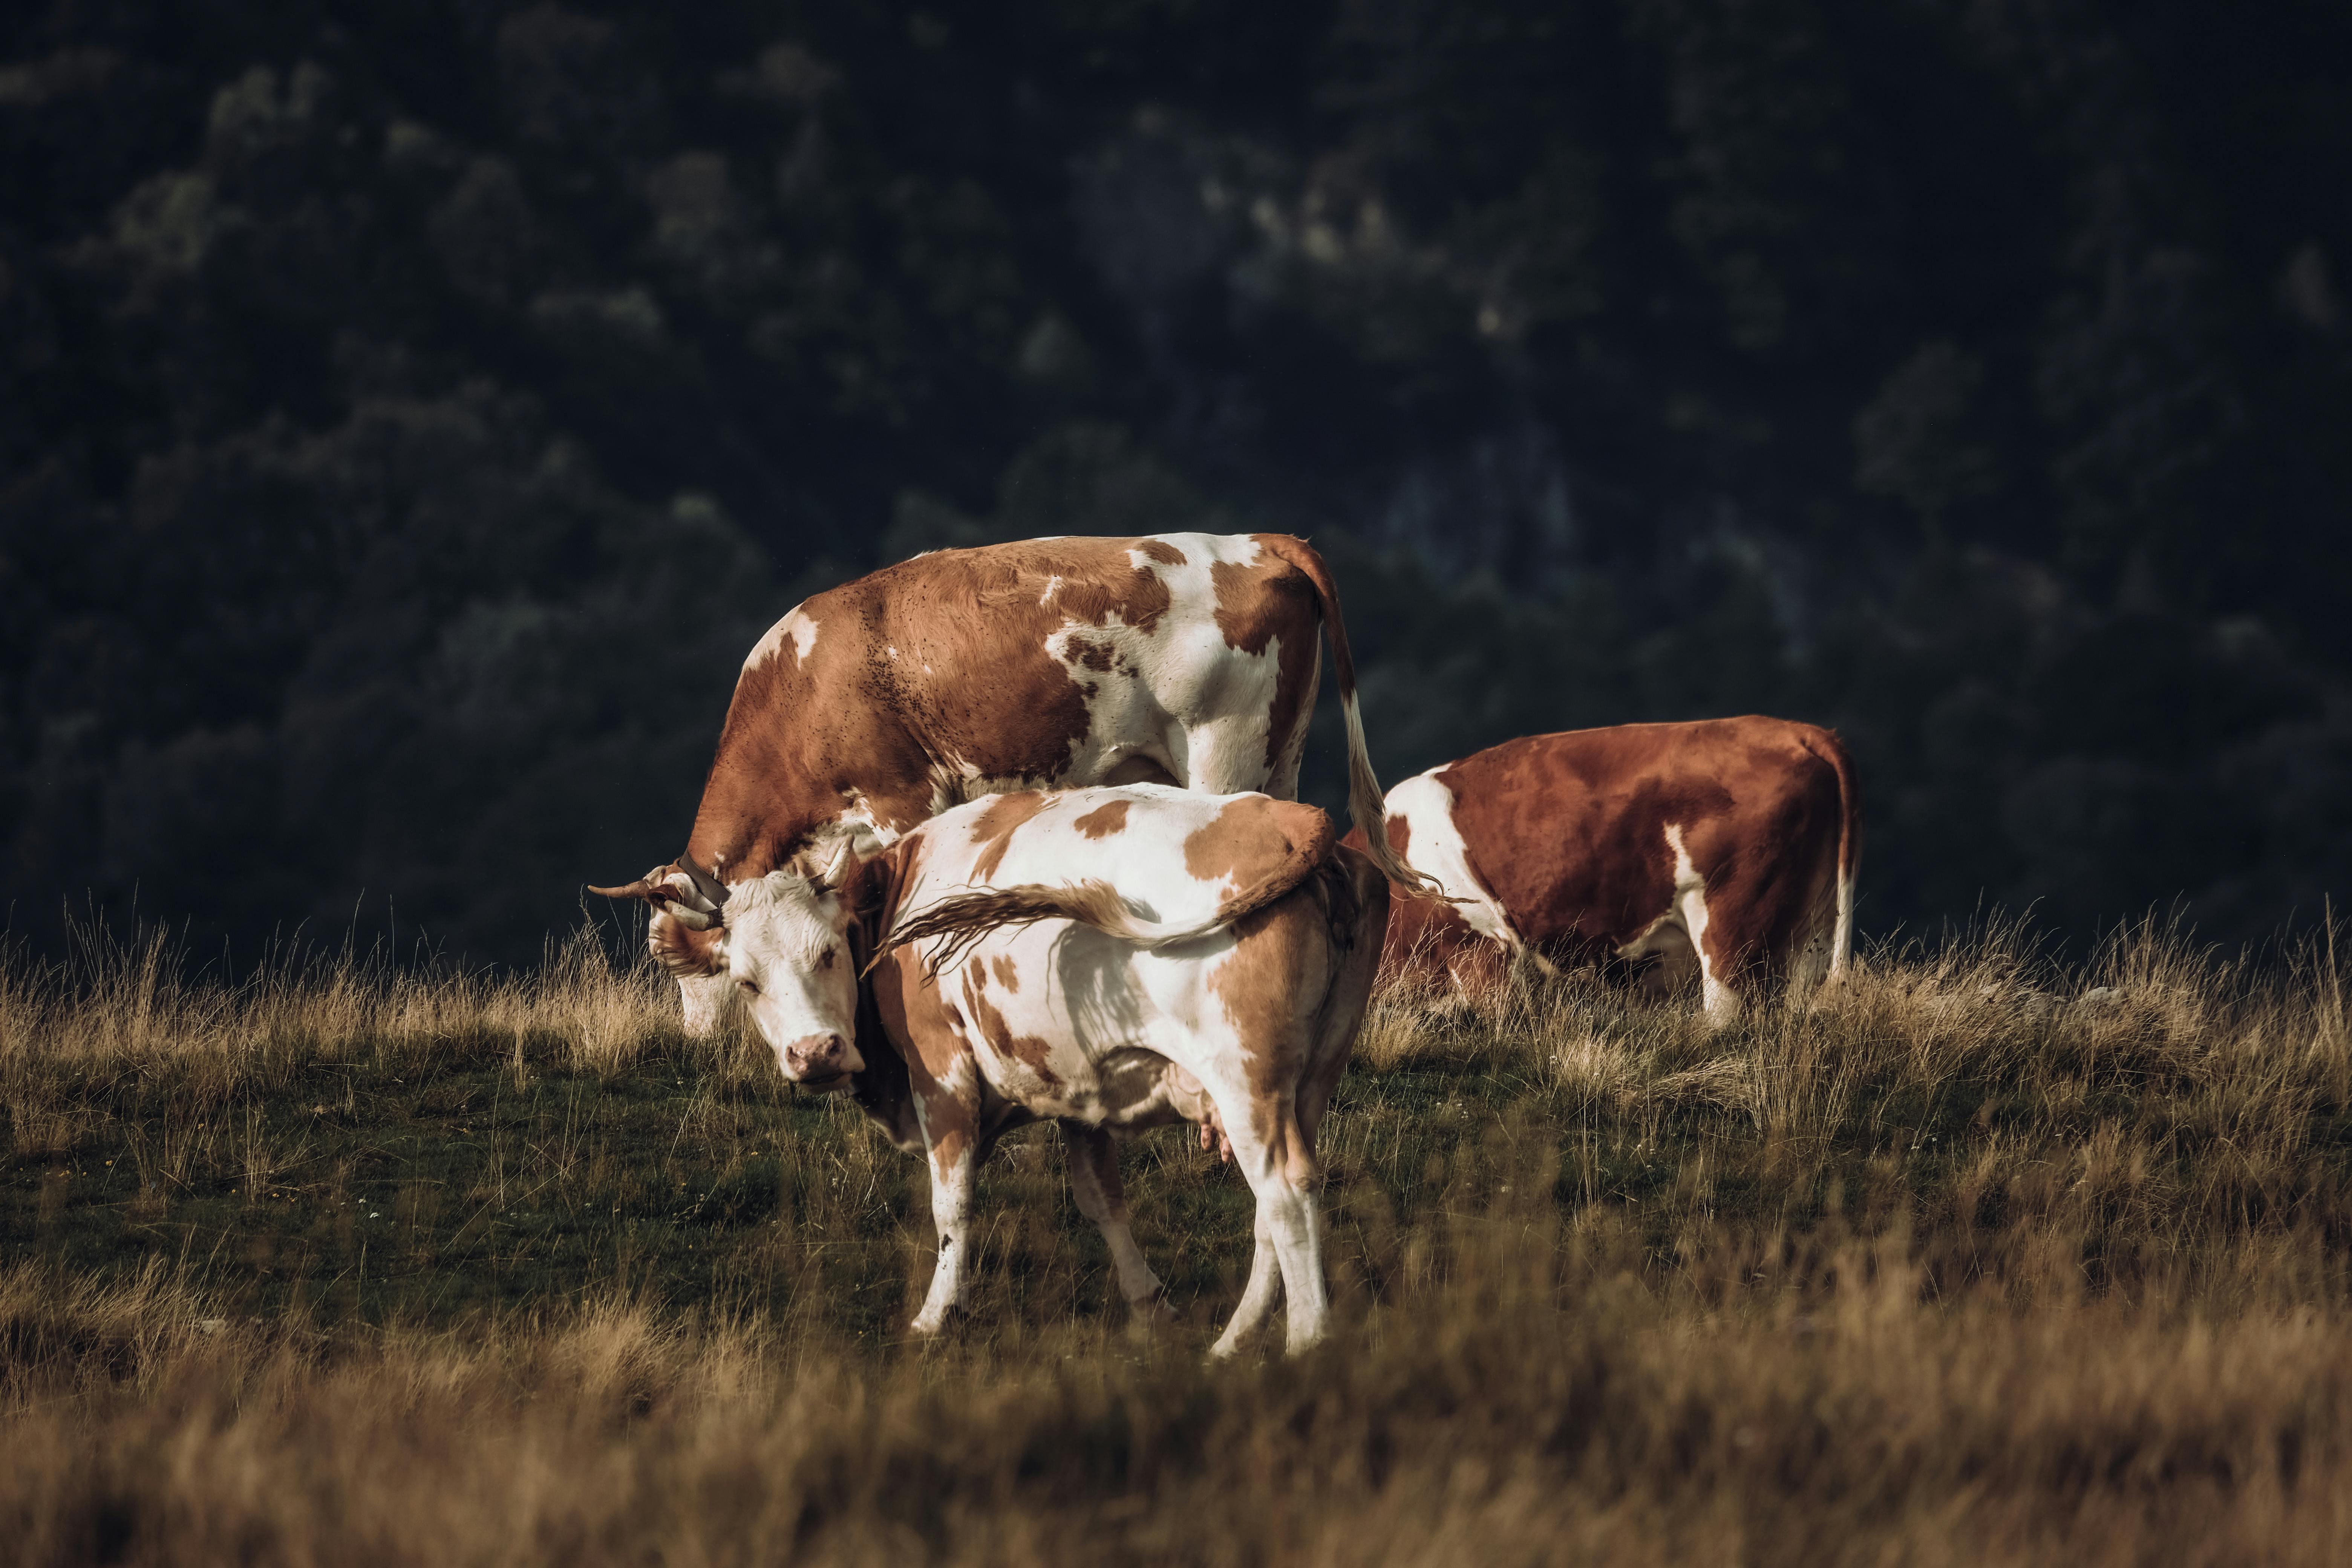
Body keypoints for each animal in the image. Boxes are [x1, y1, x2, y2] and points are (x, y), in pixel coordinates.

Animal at [594, 532, 1425, 1033]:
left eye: (689, 961)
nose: (699, 1042)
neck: (804, 680)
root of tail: (1259, 542)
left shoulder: (903, 800)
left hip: (1224, 754)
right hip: (1277, 753)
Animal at [614, 782, 1387, 1356]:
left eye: (827, 953)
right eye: (746, 982)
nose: (816, 1055)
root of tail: (1289, 816)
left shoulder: (942, 1070)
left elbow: (952, 1202)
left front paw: (936, 1315)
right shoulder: (1081, 1083)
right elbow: (1100, 1197)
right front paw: (1149, 1303)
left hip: (1244, 1079)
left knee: (1283, 1190)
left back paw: (1306, 1341)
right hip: (1306, 1080)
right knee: (1277, 1203)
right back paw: (1236, 1339)